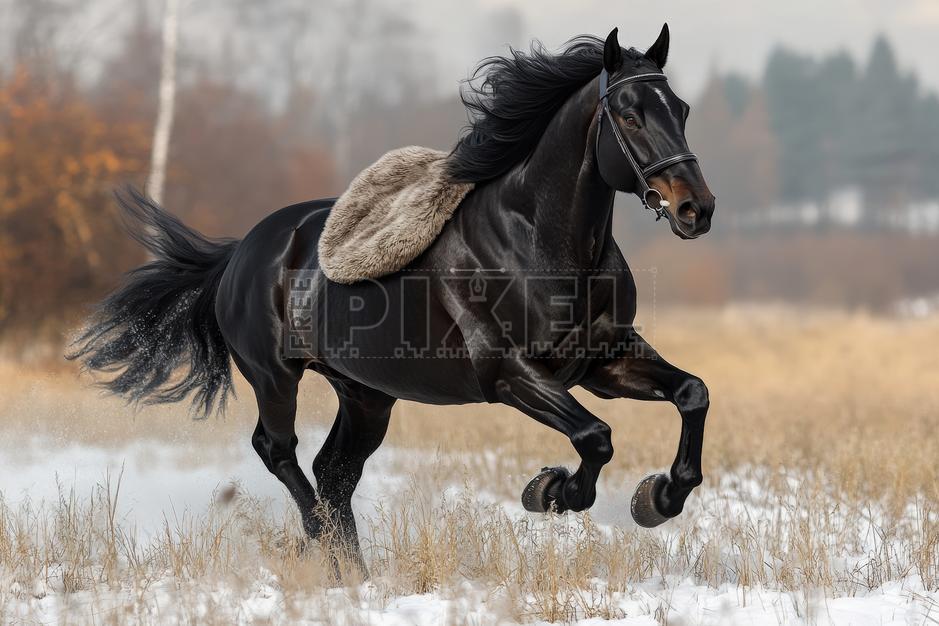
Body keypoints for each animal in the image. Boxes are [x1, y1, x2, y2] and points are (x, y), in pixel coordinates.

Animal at [70, 25, 715, 574]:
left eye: (682, 110)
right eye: (629, 115)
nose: (697, 209)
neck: (537, 238)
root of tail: (242, 251)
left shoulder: (602, 361)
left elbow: (691, 393)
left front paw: (659, 498)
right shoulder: (511, 375)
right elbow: (595, 436)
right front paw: (553, 491)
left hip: (366, 393)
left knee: (334, 471)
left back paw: (353, 571)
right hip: (275, 376)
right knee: (279, 451)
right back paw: (321, 542)